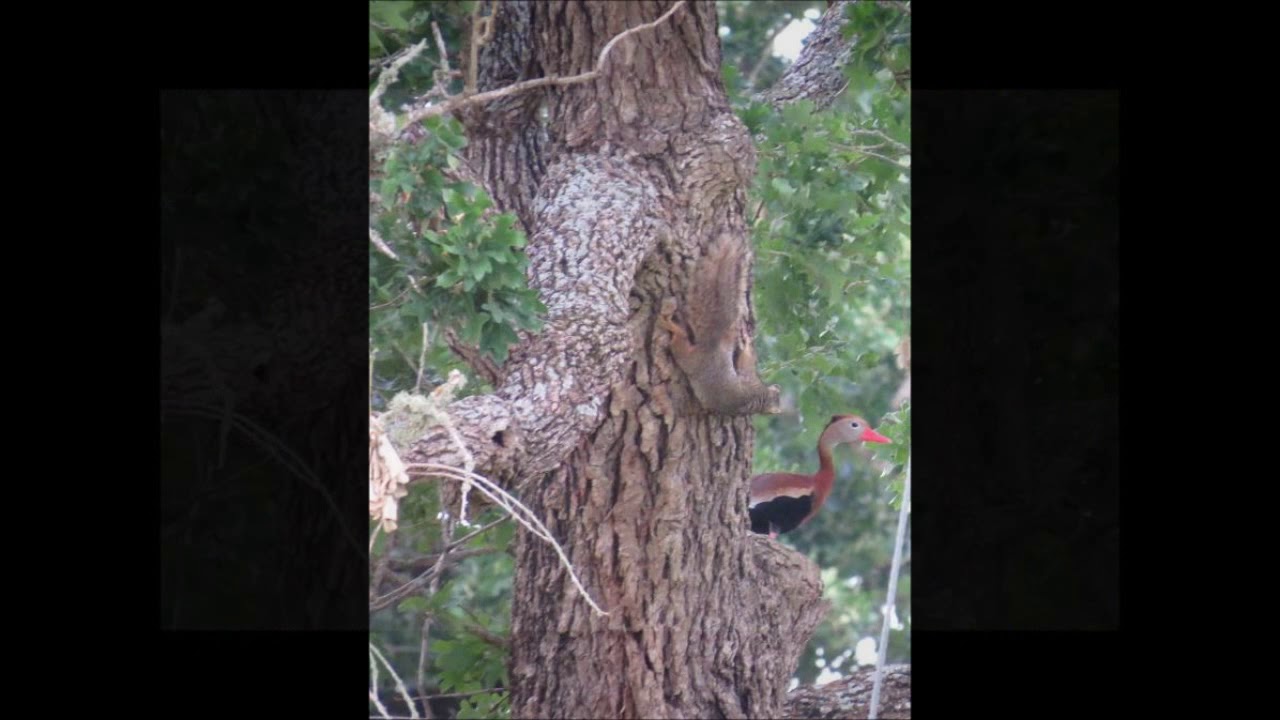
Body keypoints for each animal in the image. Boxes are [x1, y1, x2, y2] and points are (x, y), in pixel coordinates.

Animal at [658, 235, 782, 416]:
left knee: (680, 339)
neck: (760, 396)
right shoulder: (749, 379)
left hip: (688, 356)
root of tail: (712, 344)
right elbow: (746, 364)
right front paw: (748, 346)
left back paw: (667, 322)